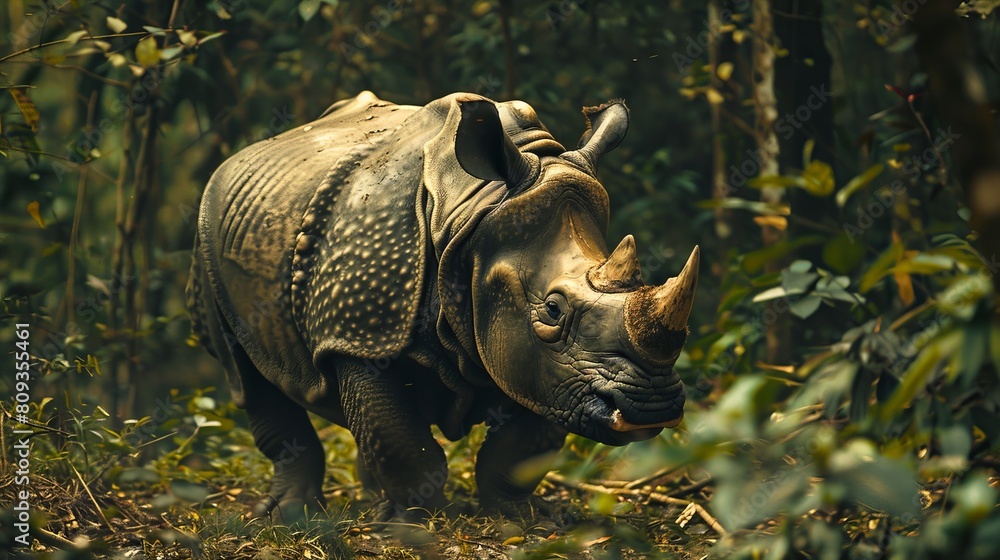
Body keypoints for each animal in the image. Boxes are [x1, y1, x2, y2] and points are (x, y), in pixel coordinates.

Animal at [186, 91, 699, 521]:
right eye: (553, 311)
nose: (652, 408)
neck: (471, 214)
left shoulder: (548, 369)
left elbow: (523, 440)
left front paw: (523, 518)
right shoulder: (359, 333)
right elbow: (400, 438)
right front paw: (412, 521)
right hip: (206, 241)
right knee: (244, 373)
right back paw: (288, 515)